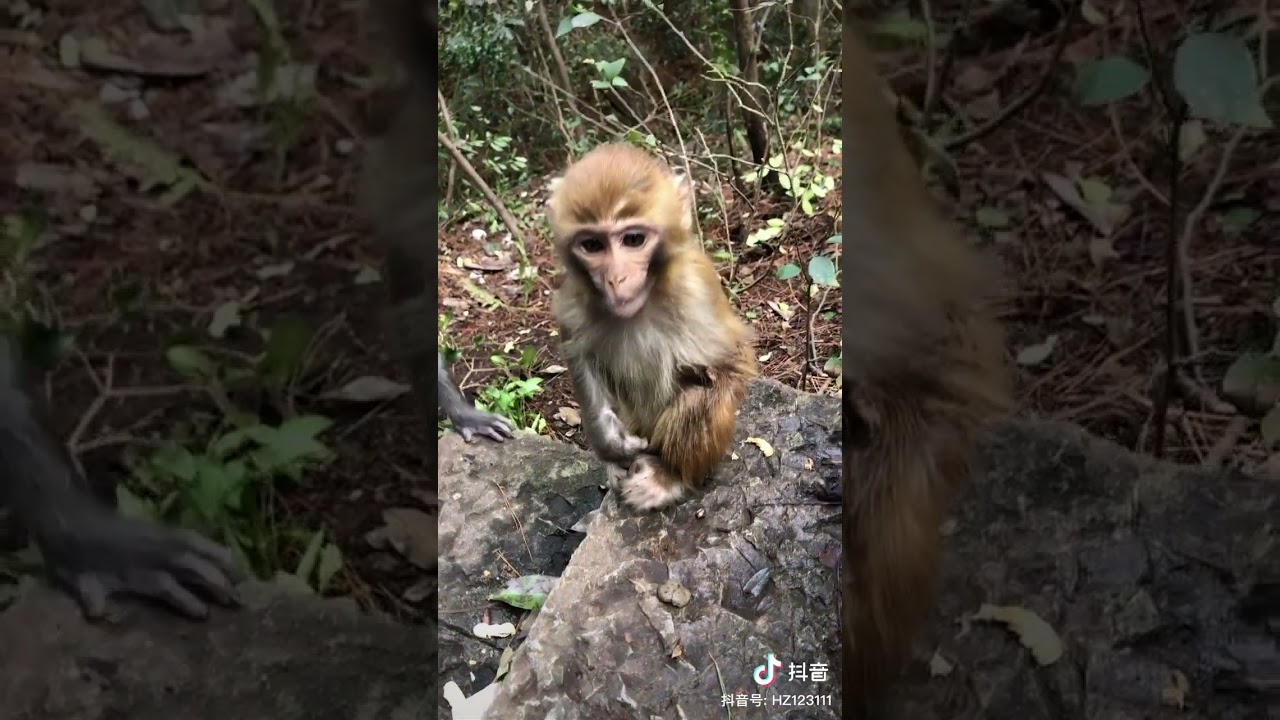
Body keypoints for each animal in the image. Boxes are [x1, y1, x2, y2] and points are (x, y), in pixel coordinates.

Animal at [546, 144, 758, 512]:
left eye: (633, 239)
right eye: (592, 245)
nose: (616, 279)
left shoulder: (696, 289)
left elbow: (730, 365)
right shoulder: (573, 299)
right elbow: (580, 356)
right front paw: (609, 442)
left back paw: (669, 476)